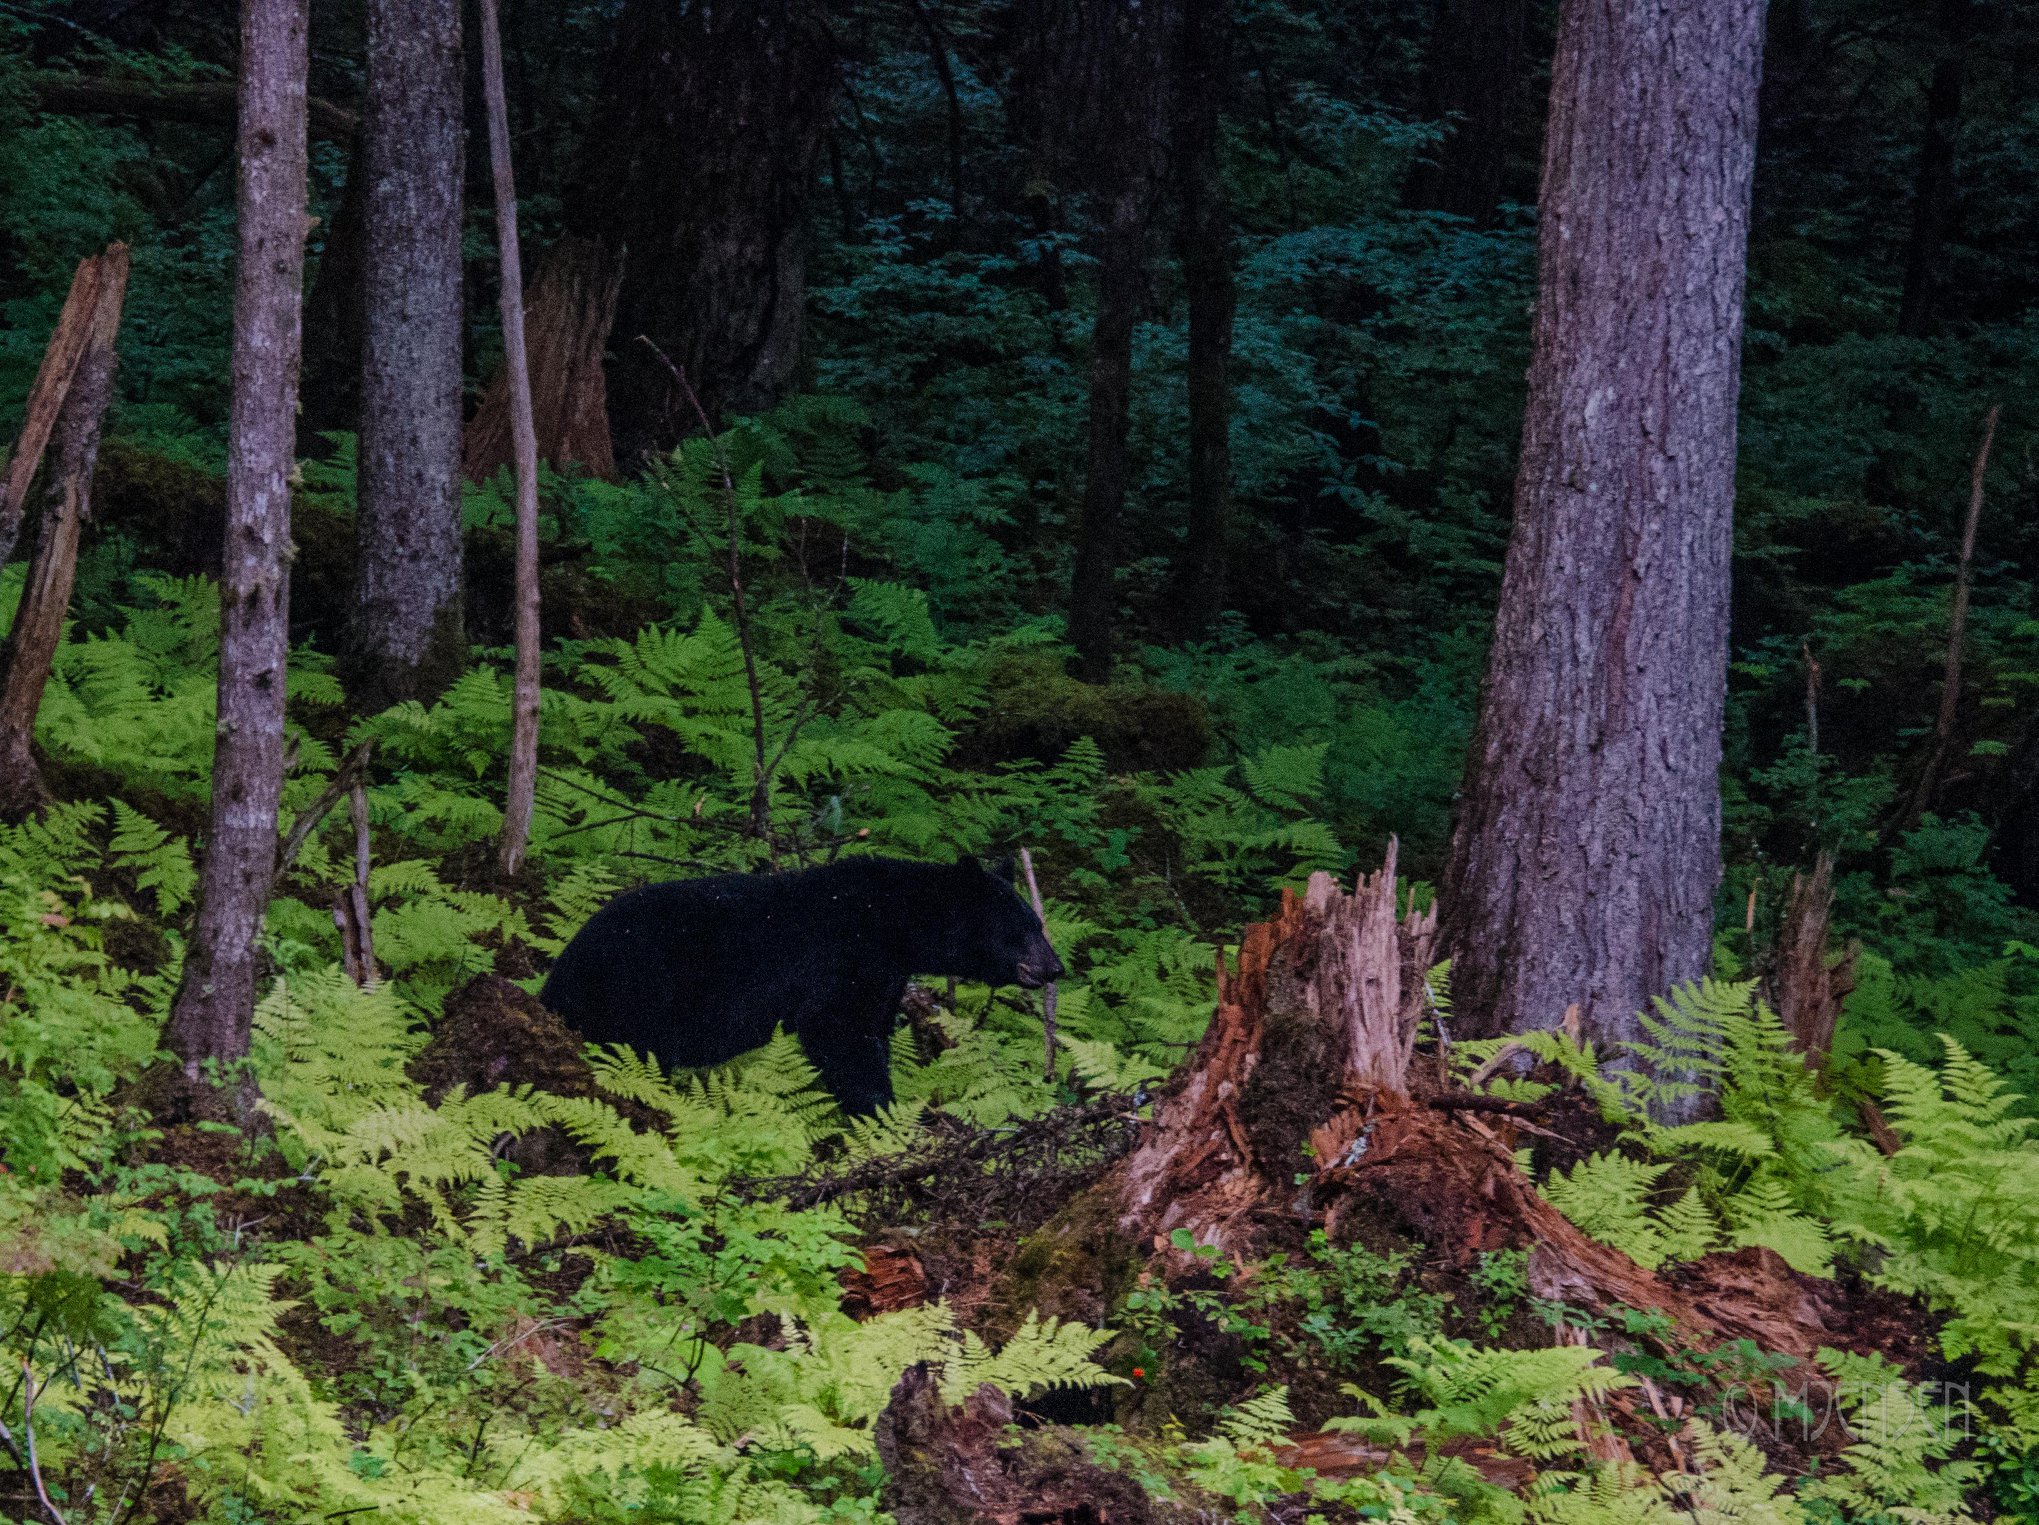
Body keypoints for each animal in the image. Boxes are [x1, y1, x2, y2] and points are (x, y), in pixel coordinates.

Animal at [539, 854, 1065, 1115]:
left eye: (1038, 923)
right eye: (1023, 927)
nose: (1057, 968)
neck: (896, 924)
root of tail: (561, 971)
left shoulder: (884, 975)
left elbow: (872, 1026)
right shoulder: (843, 958)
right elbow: (838, 1030)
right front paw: (880, 1111)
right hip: (638, 991)